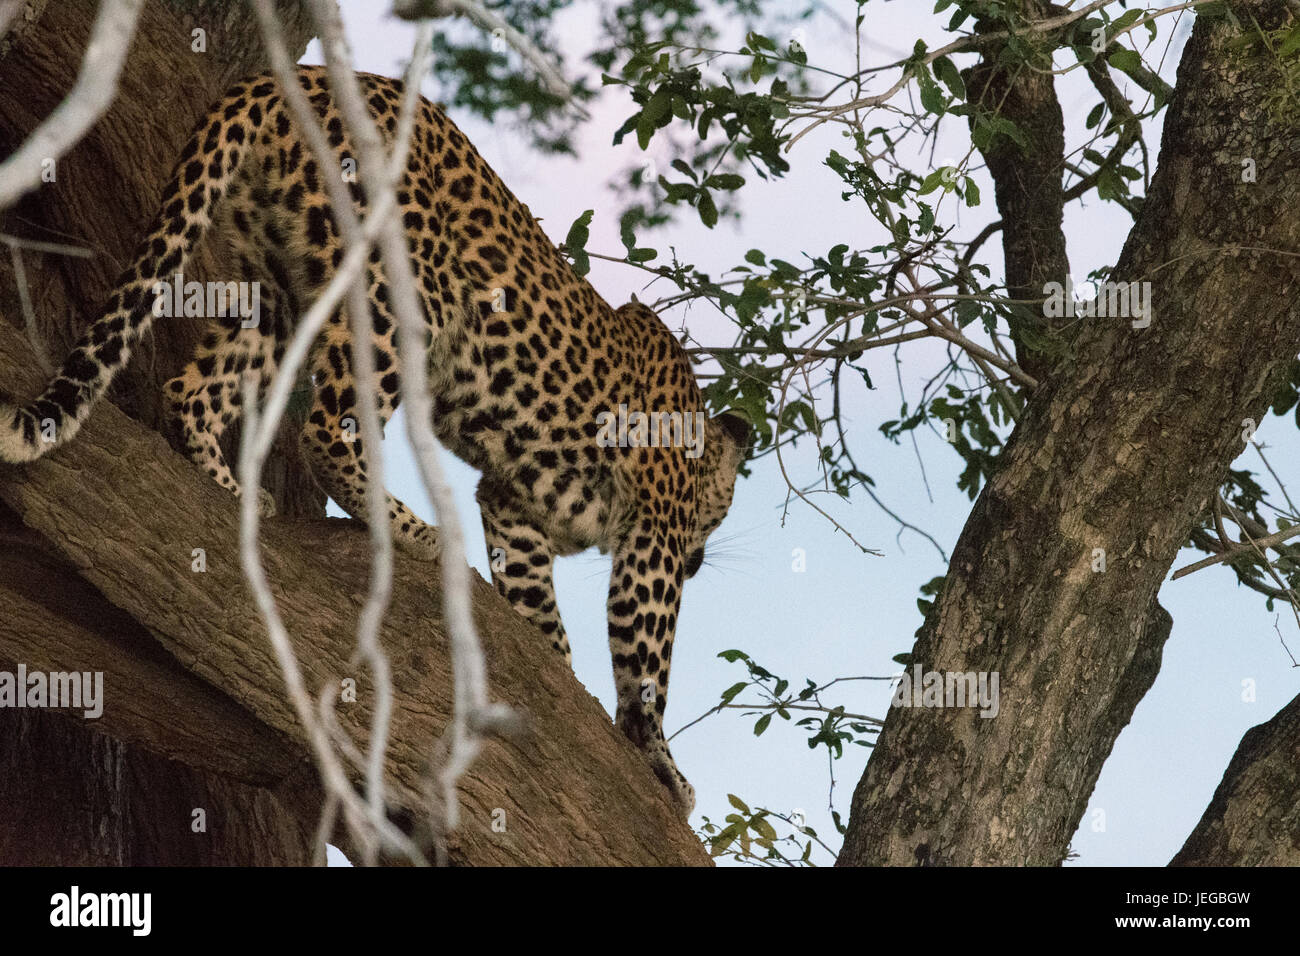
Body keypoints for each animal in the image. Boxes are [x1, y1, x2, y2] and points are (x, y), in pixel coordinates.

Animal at [0, 65, 749, 818]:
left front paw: (560, 677)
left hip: (275, 286)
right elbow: (646, 657)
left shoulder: (513, 504)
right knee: (327, 430)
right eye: (717, 518)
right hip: (401, 289)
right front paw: (659, 760)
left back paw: (230, 487)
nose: (699, 564)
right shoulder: (653, 538)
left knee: (193, 389)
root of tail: (289, 77)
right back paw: (410, 530)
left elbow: (540, 609)